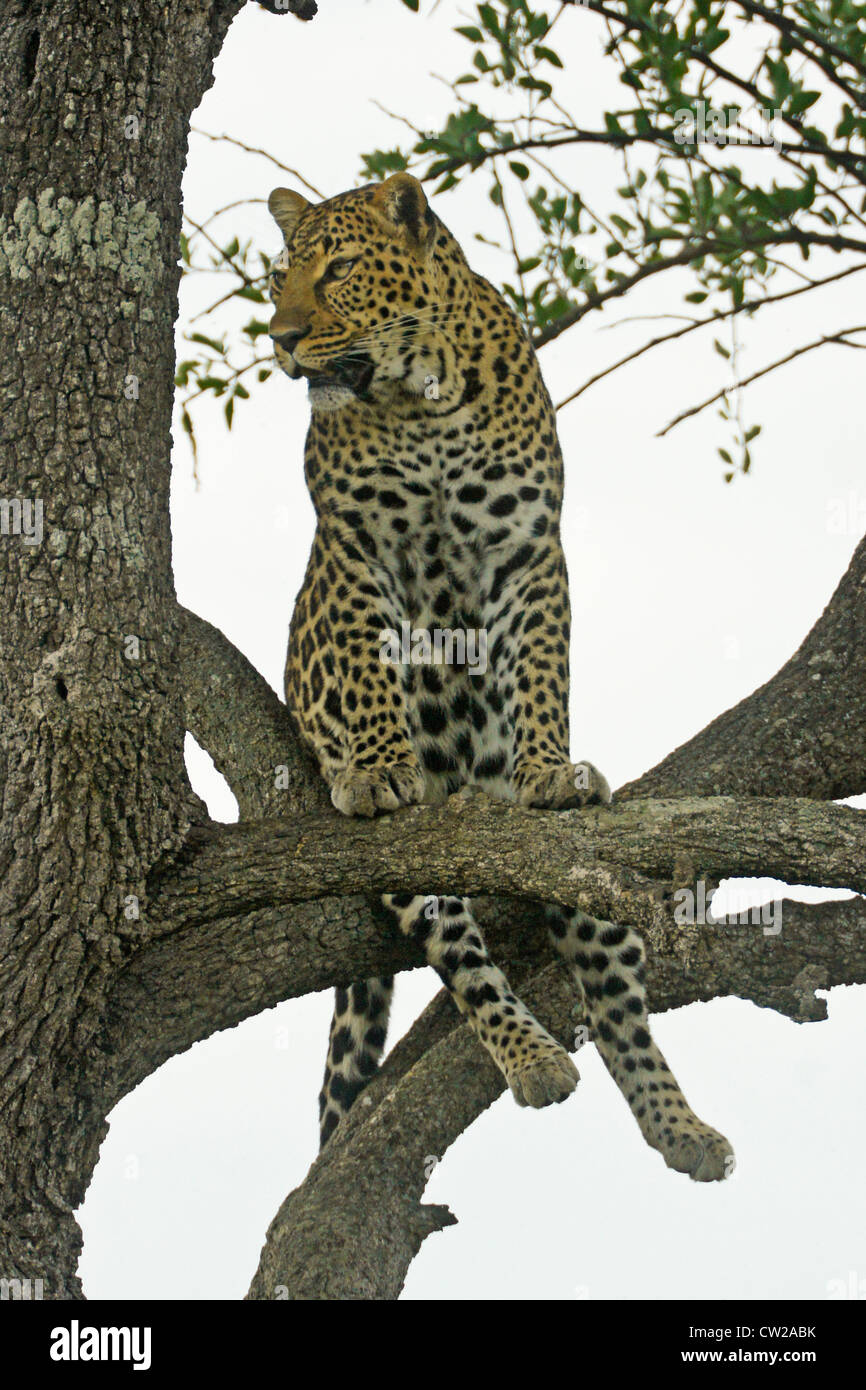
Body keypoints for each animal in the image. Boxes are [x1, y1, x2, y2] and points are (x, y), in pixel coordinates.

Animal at [266, 172, 732, 1182]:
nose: (279, 337)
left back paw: (680, 1127)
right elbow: (370, 666)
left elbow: (543, 670)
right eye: (280, 279)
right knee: (461, 950)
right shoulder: (357, 551)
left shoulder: (528, 550)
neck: (422, 397)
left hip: (572, 871)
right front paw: (380, 769)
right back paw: (535, 1062)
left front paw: (549, 767)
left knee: (616, 991)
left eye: (341, 268)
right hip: (420, 868)